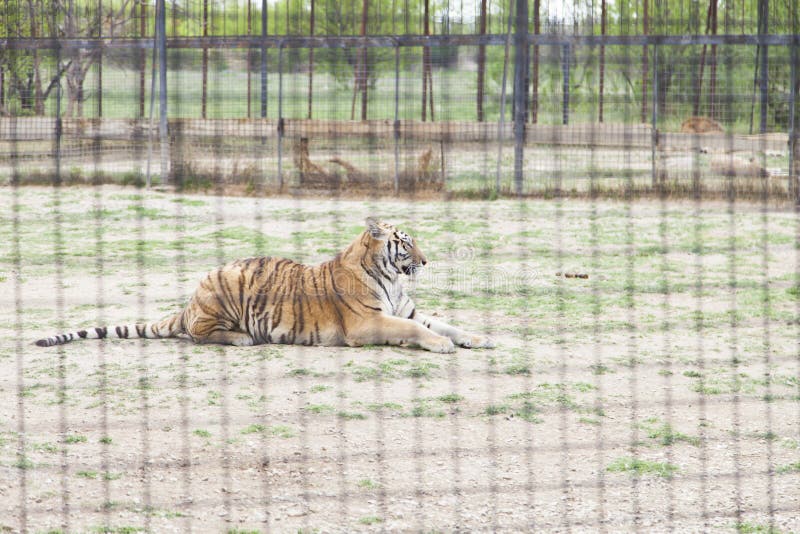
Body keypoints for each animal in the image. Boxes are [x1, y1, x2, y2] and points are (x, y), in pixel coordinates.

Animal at [35, 218, 495, 353]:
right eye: (406, 243)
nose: (426, 261)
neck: (392, 279)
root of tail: (188, 302)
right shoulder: (368, 324)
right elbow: (417, 330)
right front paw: (442, 345)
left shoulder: (406, 310)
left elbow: (446, 322)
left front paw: (479, 338)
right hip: (223, 287)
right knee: (197, 333)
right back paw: (240, 338)